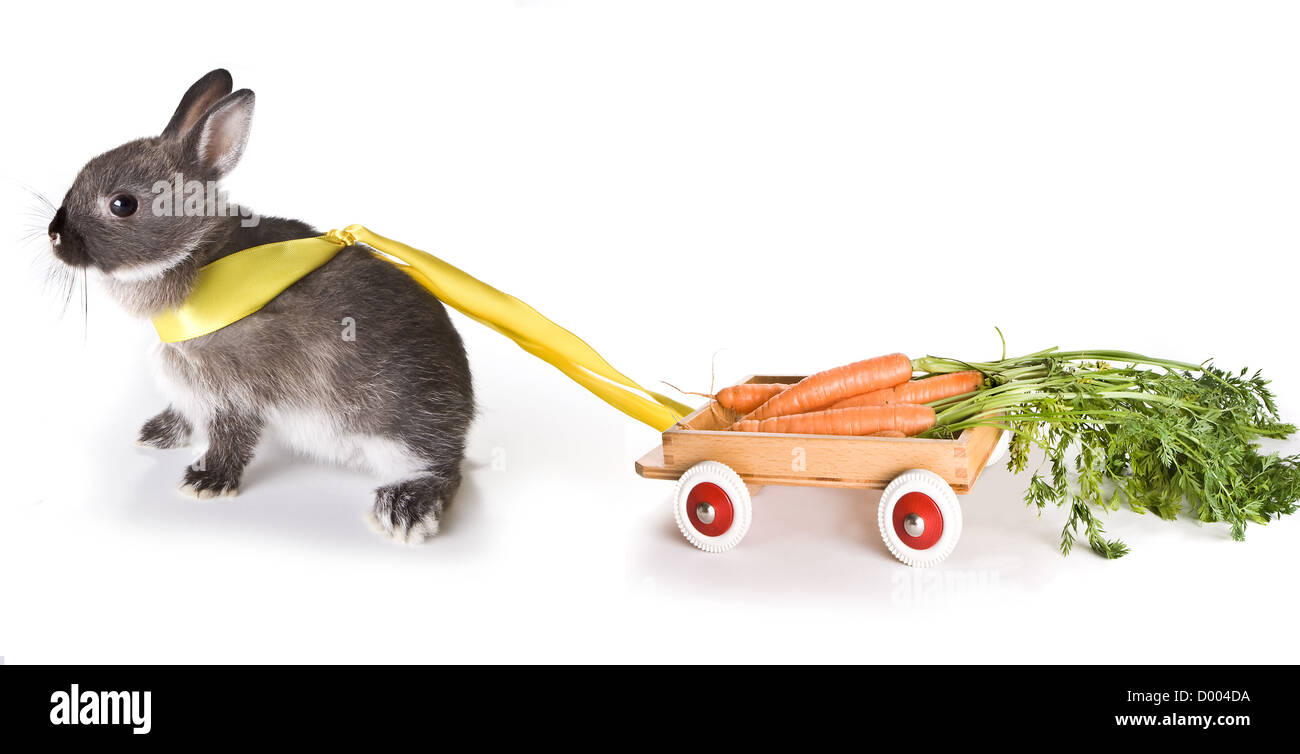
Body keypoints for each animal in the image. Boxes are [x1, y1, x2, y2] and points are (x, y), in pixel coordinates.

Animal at [46, 69, 475, 544]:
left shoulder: (236, 387)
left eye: (122, 204)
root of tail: (463, 414)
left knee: (443, 470)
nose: (54, 235)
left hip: (397, 428)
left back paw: (404, 509)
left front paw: (206, 481)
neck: (200, 254)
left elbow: (233, 434)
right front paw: (158, 433)